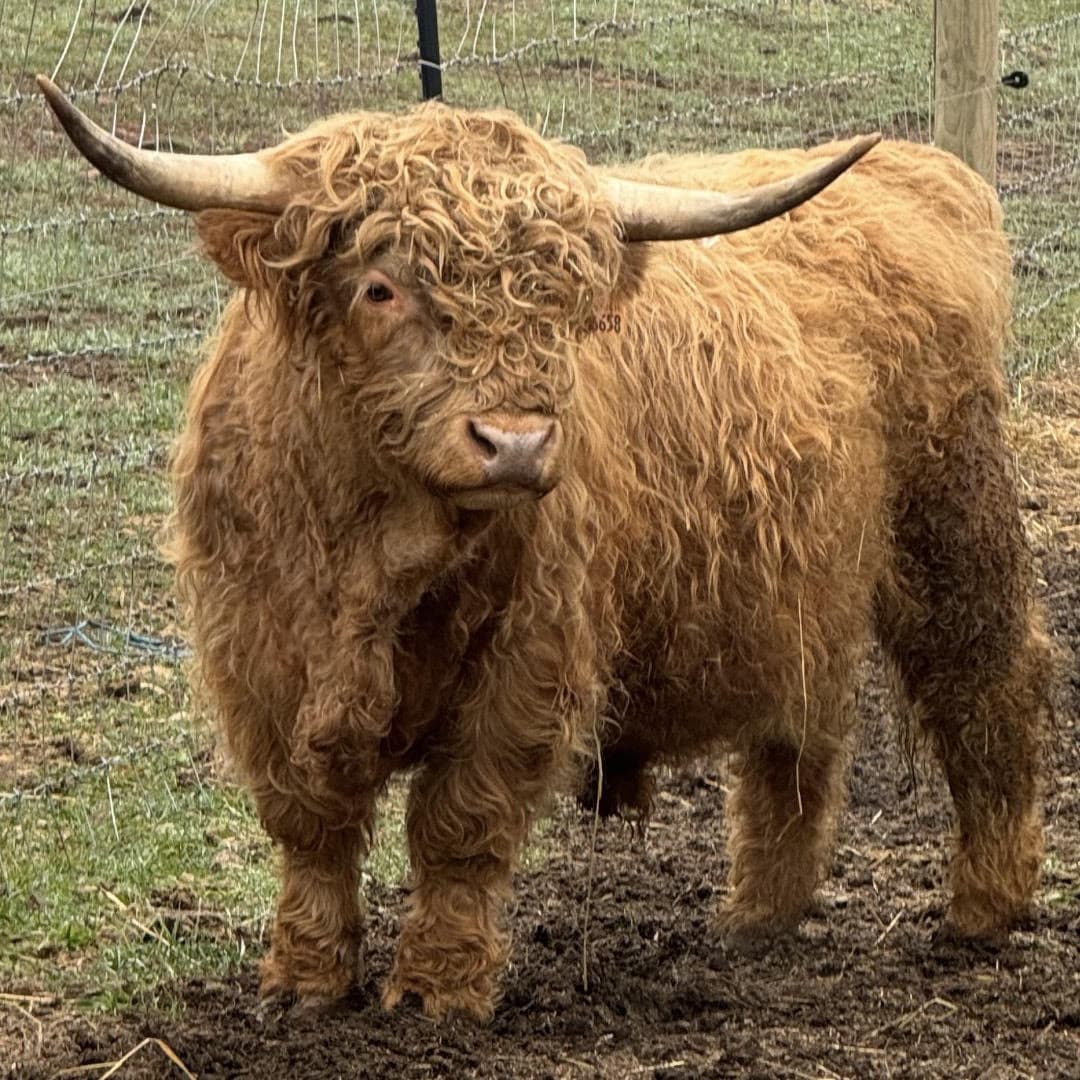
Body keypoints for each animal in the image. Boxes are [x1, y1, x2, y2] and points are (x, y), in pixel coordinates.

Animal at [39, 75, 1052, 1021]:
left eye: (561, 304)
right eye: (380, 286)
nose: (517, 443)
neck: (370, 562)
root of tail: (925, 172)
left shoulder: (530, 657)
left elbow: (460, 823)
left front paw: (437, 990)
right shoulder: (256, 654)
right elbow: (311, 824)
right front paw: (305, 981)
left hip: (952, 524)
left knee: (987, 685)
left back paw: (984, 906)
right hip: (803, 581)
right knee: (804, 728)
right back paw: (760, 917)